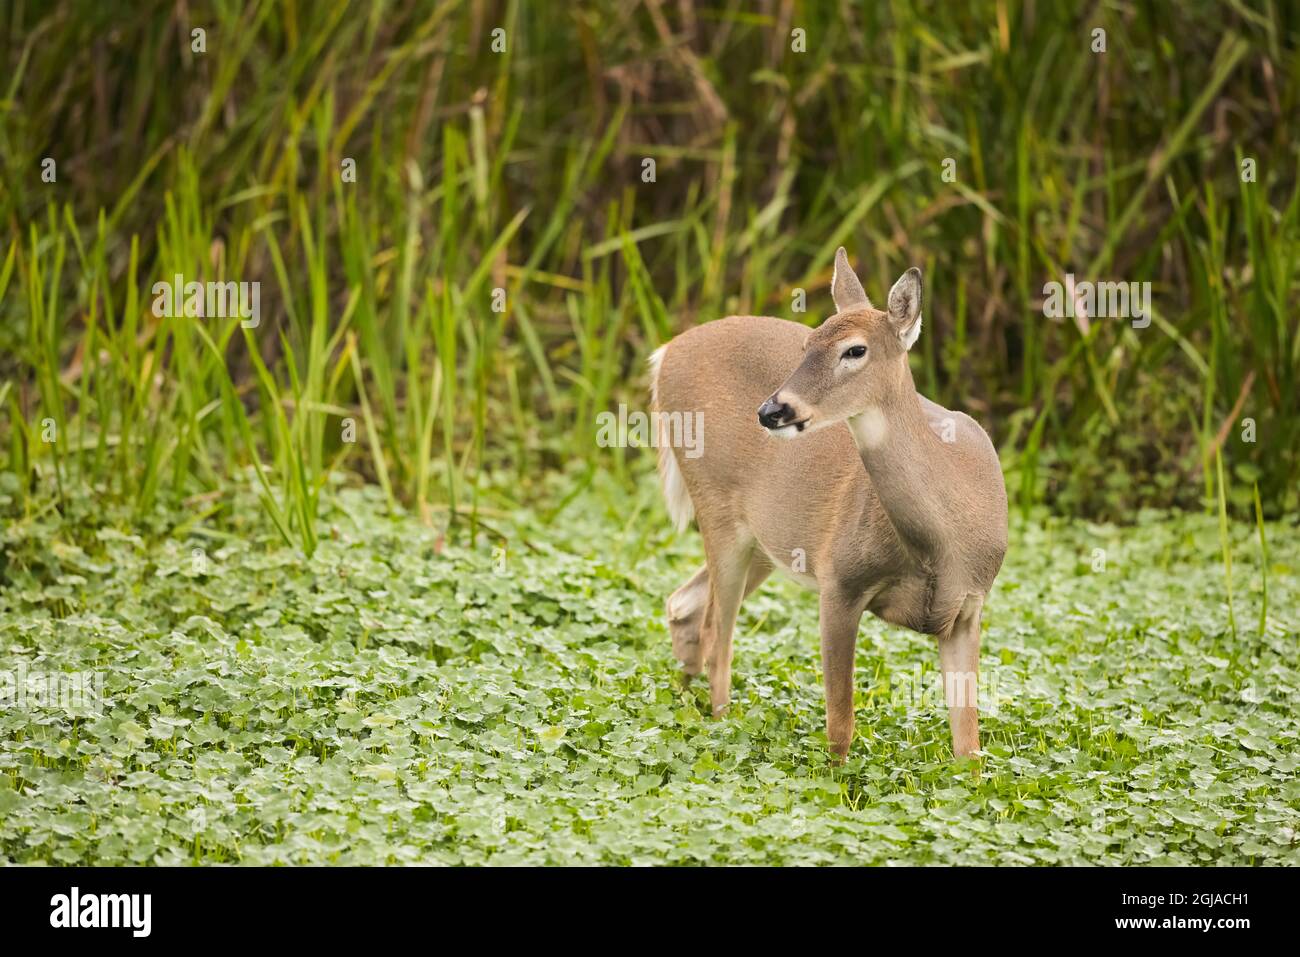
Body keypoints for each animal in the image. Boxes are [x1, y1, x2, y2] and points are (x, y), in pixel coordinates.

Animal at [649, 248, 1007, 759]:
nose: (772, 410)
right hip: (716, 504)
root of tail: (664, 353)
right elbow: (840, 726)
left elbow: (969, 745)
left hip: (765, 539)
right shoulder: (839, 580)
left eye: (855, 350)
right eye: (807, 344)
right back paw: (718, 726)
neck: (940, 546)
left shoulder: (969, 608)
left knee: (687, 605)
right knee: (717, 631)